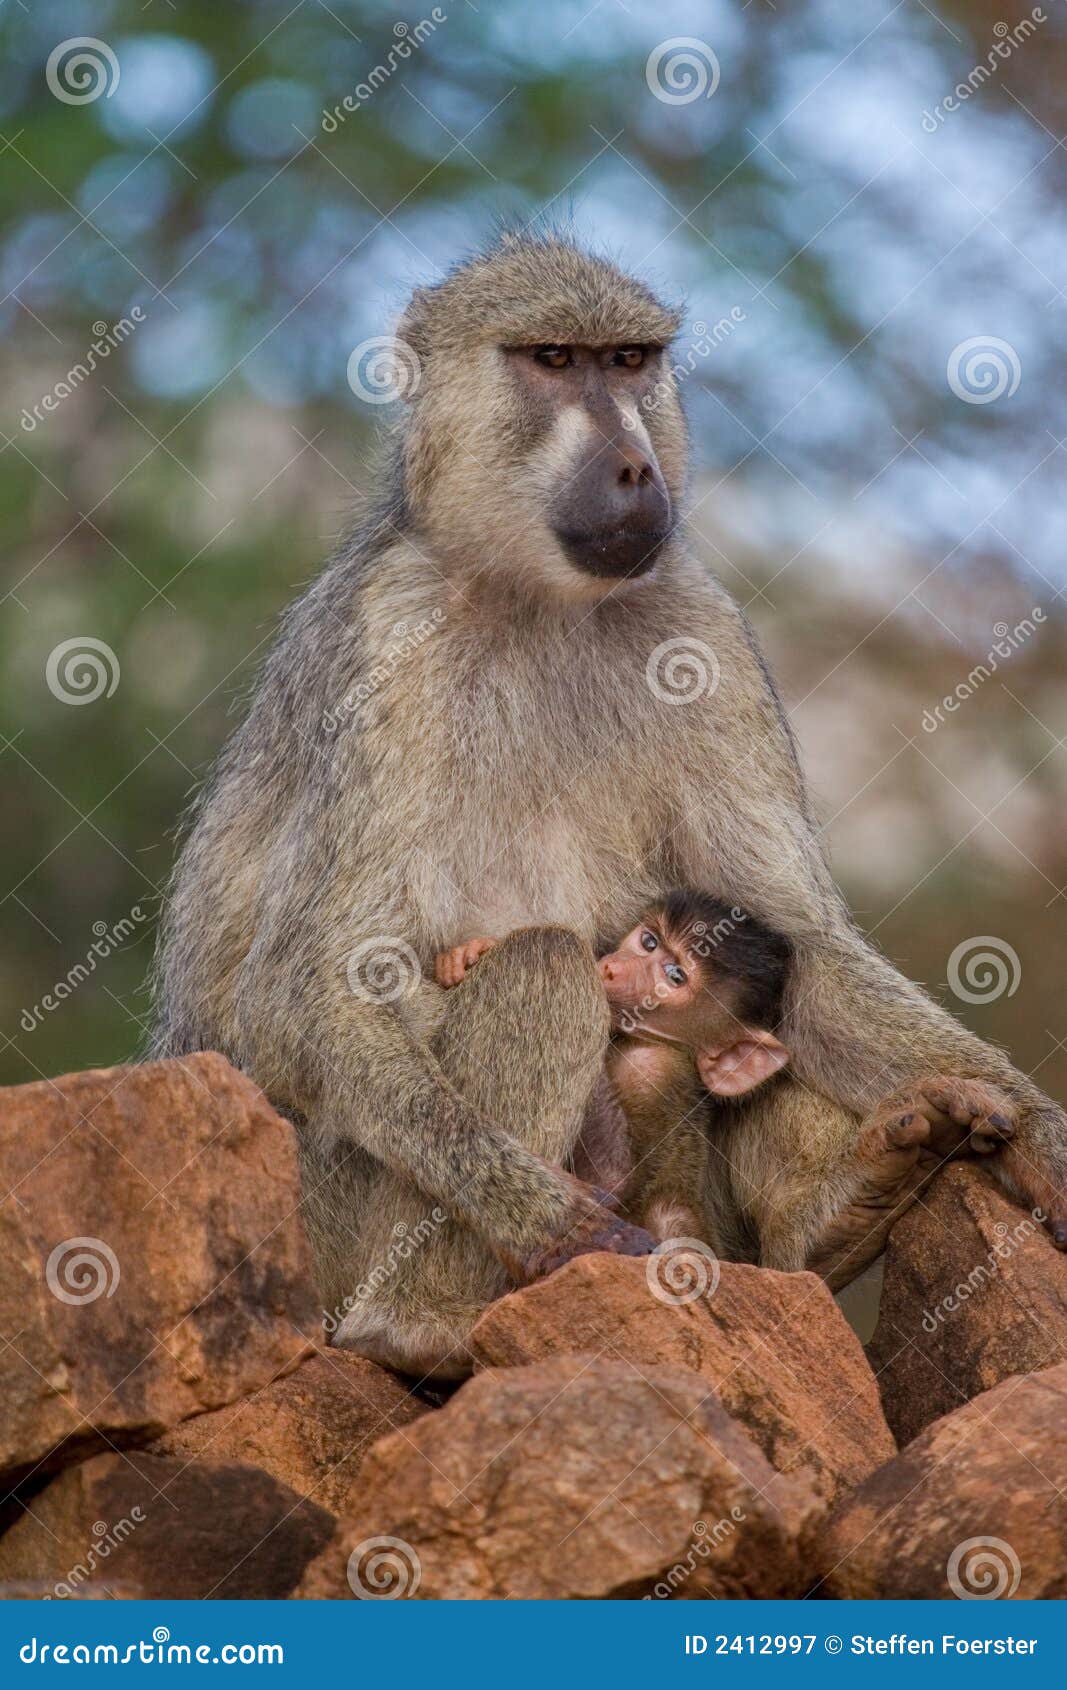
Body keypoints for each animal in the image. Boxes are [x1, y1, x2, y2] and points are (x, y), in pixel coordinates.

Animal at [435, 892, 792, 1248]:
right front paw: (468, 954)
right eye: (649, 941)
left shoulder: (649, 1068)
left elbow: (611, 1181)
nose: (611, 969)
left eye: (675, 976)